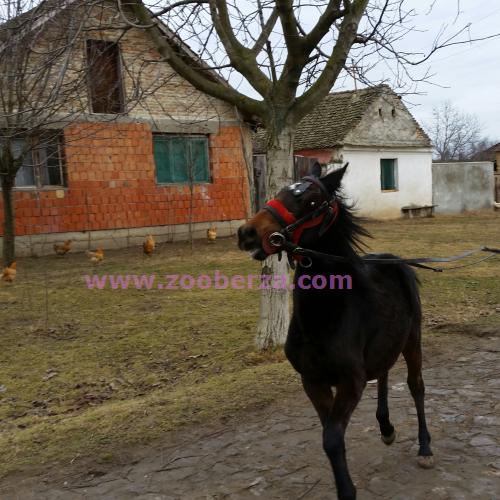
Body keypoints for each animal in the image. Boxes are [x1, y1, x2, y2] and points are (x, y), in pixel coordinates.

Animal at [236, 164, 432, 500]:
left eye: (311, 201)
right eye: (282, 191)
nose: (248, 234)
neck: (323, 317)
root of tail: (395, 261)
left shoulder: (350, 383)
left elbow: (331, 437)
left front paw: (347, 491)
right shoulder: (312, 381)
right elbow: (330, 435)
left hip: (412, 341)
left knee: (415, 386)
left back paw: (424, 447)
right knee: (383, 373)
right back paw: (386, 428)